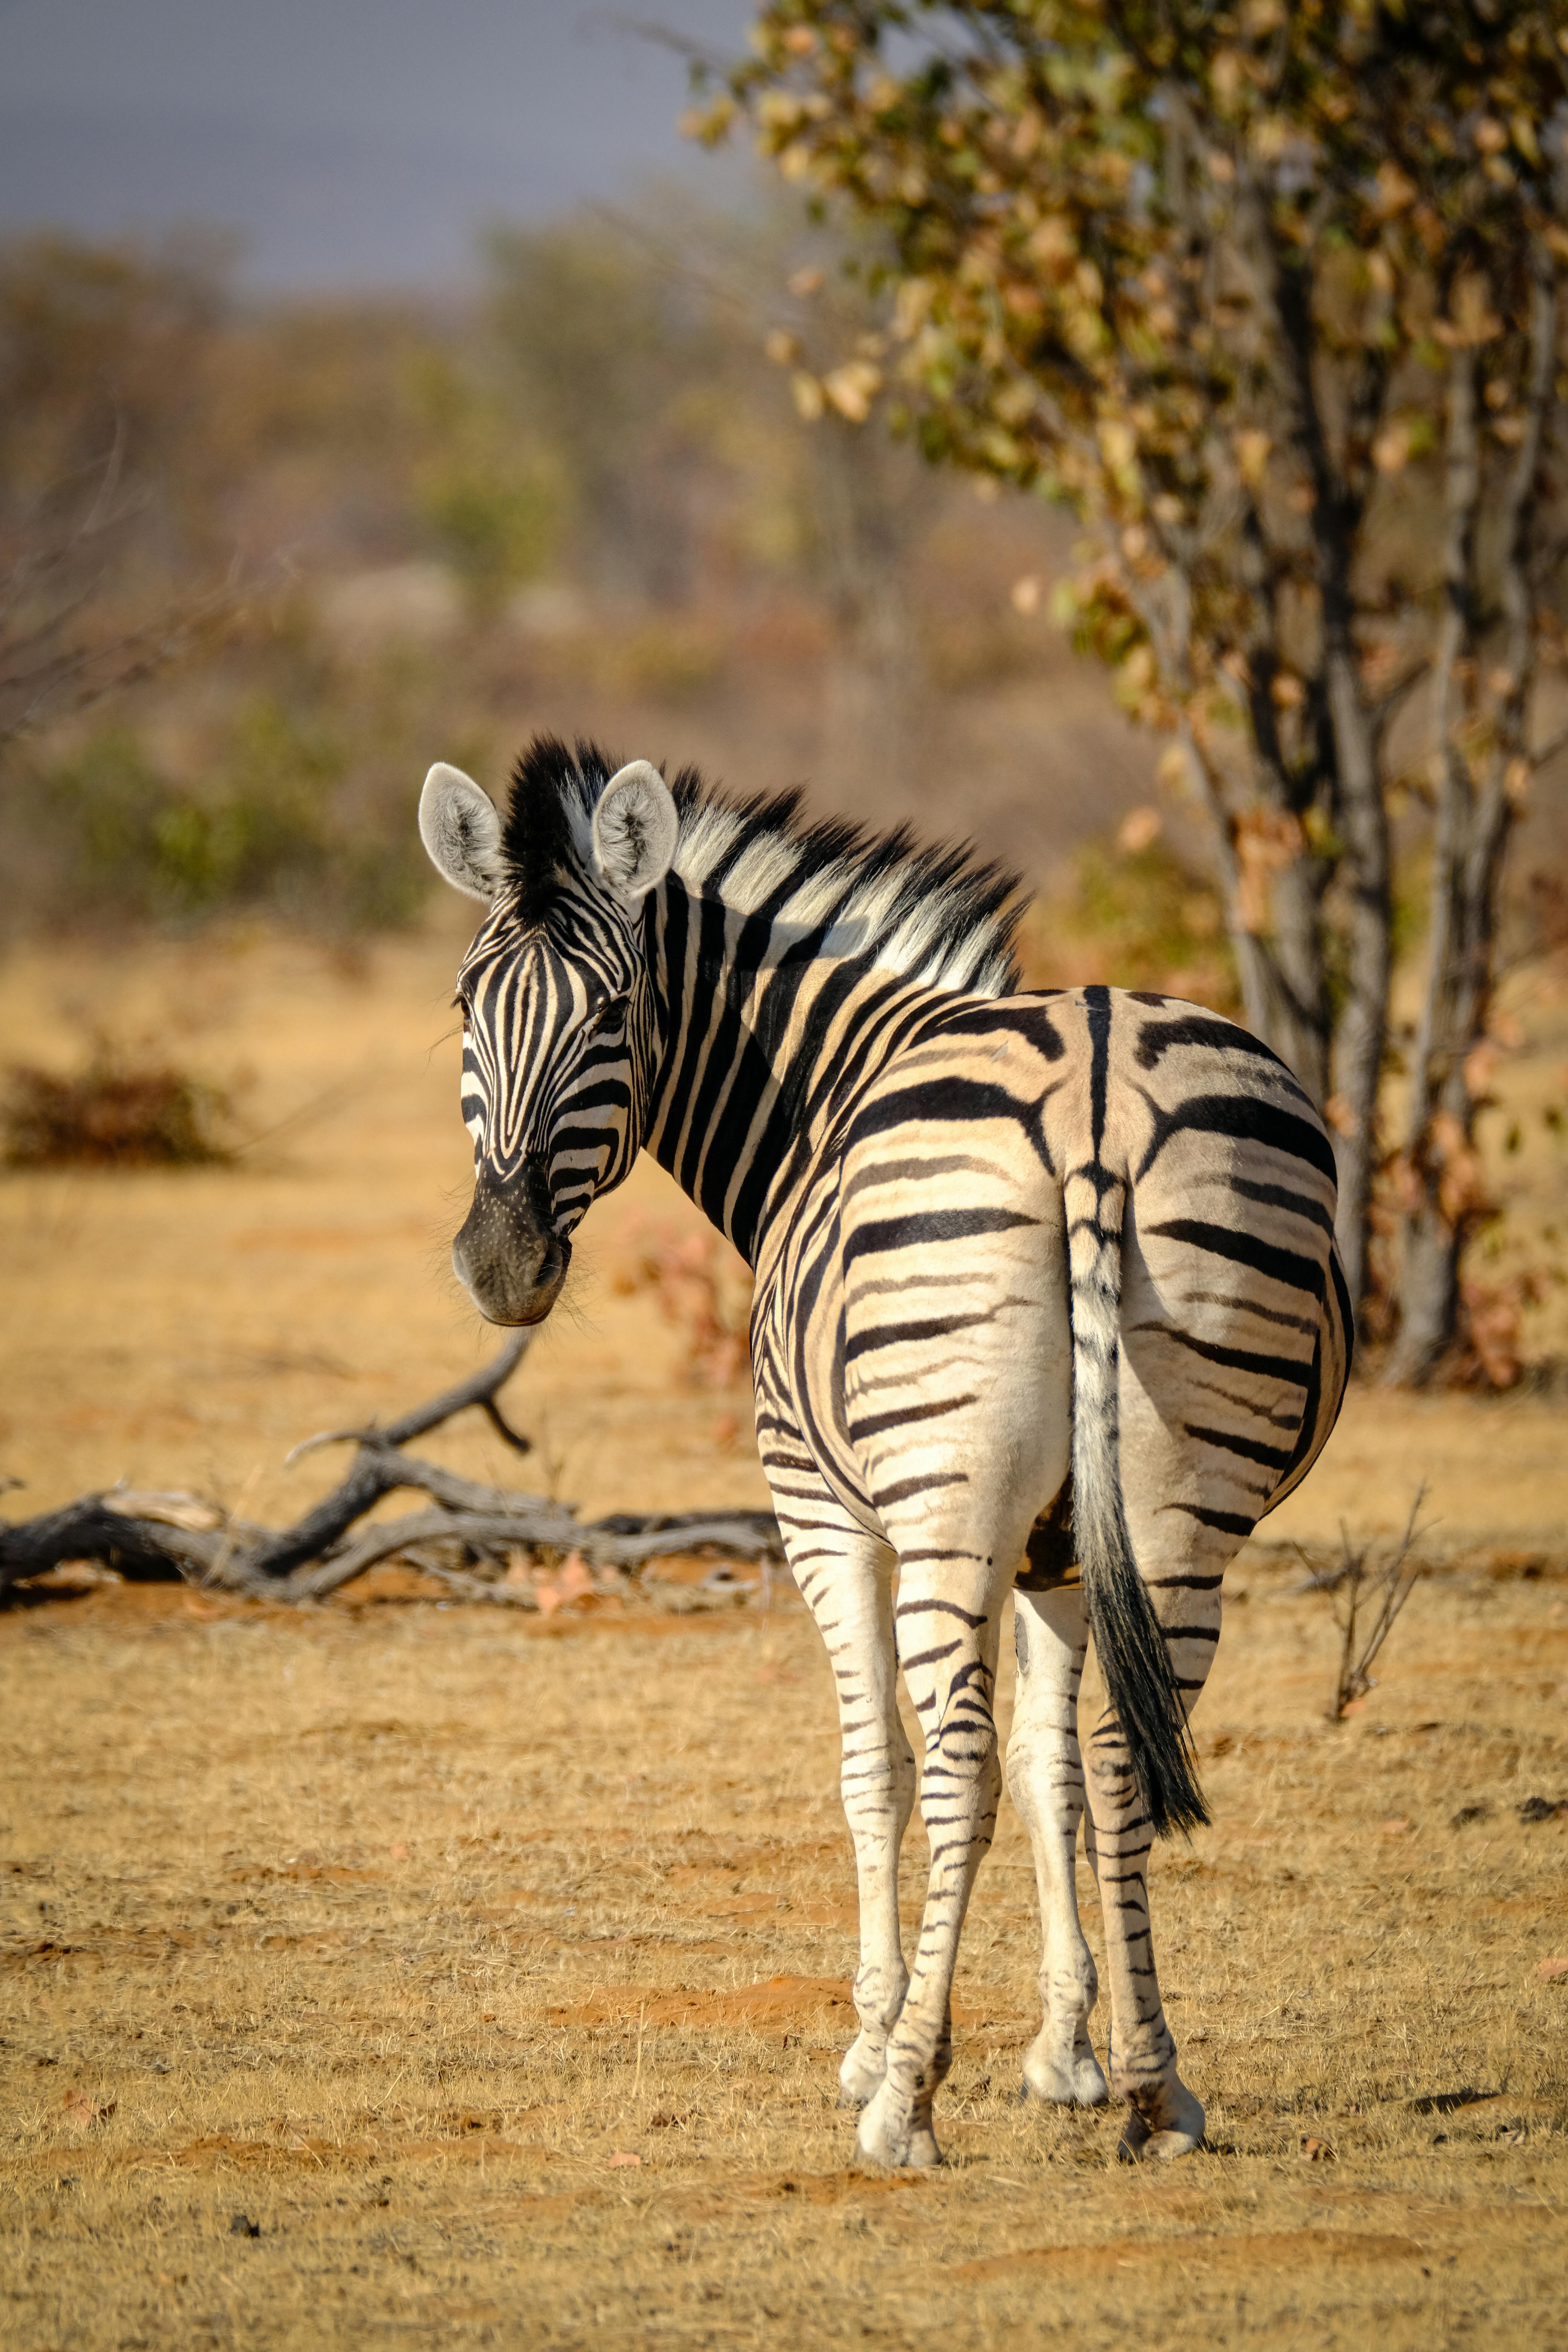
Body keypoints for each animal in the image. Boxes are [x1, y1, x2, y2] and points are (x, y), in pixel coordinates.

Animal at [418, 735, 1352, 2168]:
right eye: (468, 1007)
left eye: (615, 1017)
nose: (502, 1266)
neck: (830, 1081)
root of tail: (1092, 1093)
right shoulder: (1064, 1551)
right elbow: (1056, 1769)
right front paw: (1070, 2052)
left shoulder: (821, 1511)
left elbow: (881, 1771)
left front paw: (875, 2038)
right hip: (1182, 1510)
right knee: (1130, 1755)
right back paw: (1158, 2091)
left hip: (940, 1507)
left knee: (953, 1762)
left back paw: (904, 2098)